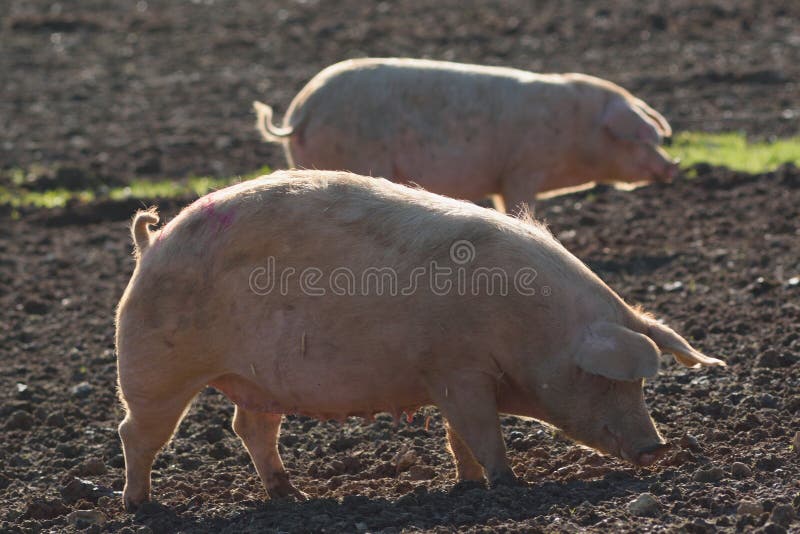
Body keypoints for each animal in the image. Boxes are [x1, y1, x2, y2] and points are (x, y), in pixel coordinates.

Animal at [116, 170, 723, 511]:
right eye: (605, 380)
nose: (657, 447)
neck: (531, 328)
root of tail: (152, 244)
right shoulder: (458, 369)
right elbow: (481, 432)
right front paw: (509, 485)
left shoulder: (453, 378)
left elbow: (459, 438)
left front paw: (469, 486)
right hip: (153, 367)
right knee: (137, 432)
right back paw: (140, 507)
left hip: (255, 382)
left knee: (251, 429)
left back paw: (294, 497)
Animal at [254, 58, 677, 214]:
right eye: (641, 139)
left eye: (657, 138)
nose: (674, 165)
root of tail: (302, 109)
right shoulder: (522, 170)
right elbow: (519, 206)